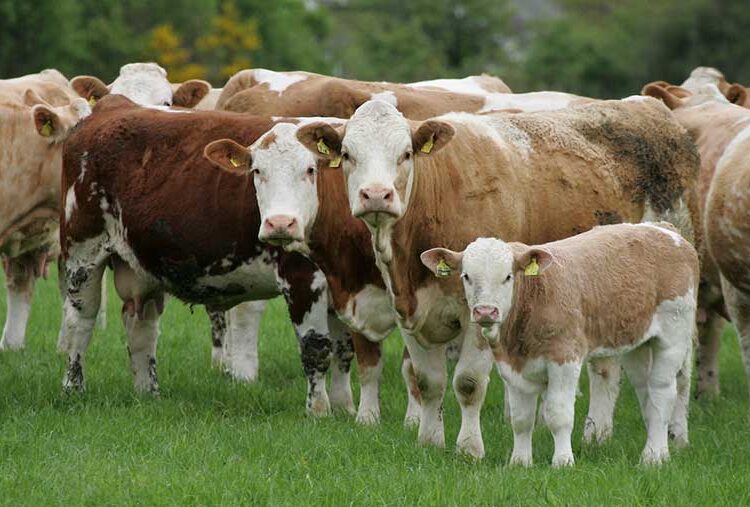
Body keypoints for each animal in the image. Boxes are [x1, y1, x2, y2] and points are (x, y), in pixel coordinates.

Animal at [58, 95, 354, 416]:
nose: (280, 223)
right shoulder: (303, 277)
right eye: (257, 172)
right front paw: (319, 412)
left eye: (311, 170)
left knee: (141, 326)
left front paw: (346, 409)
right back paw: (73, 389)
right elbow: (316, 349)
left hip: (141, 264)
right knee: (79, 320)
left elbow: (344, 349)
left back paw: (148, 394)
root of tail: (112, 105)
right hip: (82, 253)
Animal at [420, 223, 697, 466]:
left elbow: (558, 415)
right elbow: (521, 419)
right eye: (466, 276)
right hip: (637, 343)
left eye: (508, 277)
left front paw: (563, 461)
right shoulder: (511, 367)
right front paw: (520, 462)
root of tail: (664, 229)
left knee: (662, 392)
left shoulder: (565, 359)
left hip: (673, 336)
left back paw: (652, 457)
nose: (486, 312)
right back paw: (659, 451)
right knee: (646, 392)